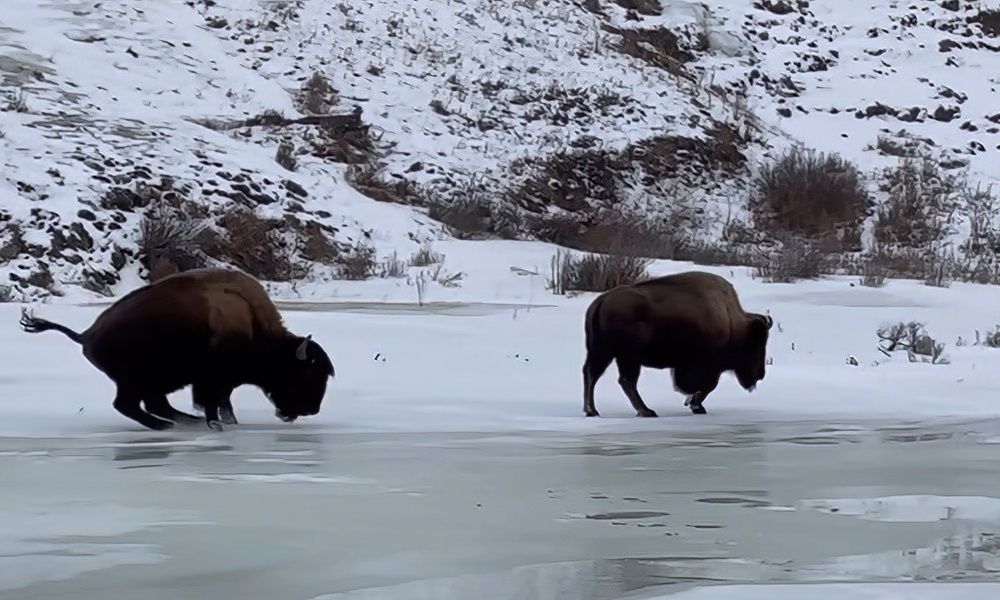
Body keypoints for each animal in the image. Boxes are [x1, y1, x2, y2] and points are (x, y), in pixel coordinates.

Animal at [20, 267, 335, 431]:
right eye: (307, 374)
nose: (311, 410)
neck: (253, 324)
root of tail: (86, 335)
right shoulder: (212, 379)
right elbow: (213, 402)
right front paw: (217, 425)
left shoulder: (220, 382)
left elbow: (222, 402)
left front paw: (228, 422)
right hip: (138, 380)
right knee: (129, 405)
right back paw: (171, 426)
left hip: (151, 383)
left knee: (152, 405)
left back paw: (184, 422)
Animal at [582, 271, 772, 417]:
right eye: (756, 343)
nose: (760, 374)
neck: (729, 320)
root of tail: (601, 301)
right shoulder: (704, 365)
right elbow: (706, 386)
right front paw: (694, 404)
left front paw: (694, 404)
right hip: (626, 356)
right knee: (625, 381)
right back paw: (646, 411)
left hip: (604, 352)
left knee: (593, 374)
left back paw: (592, 411)